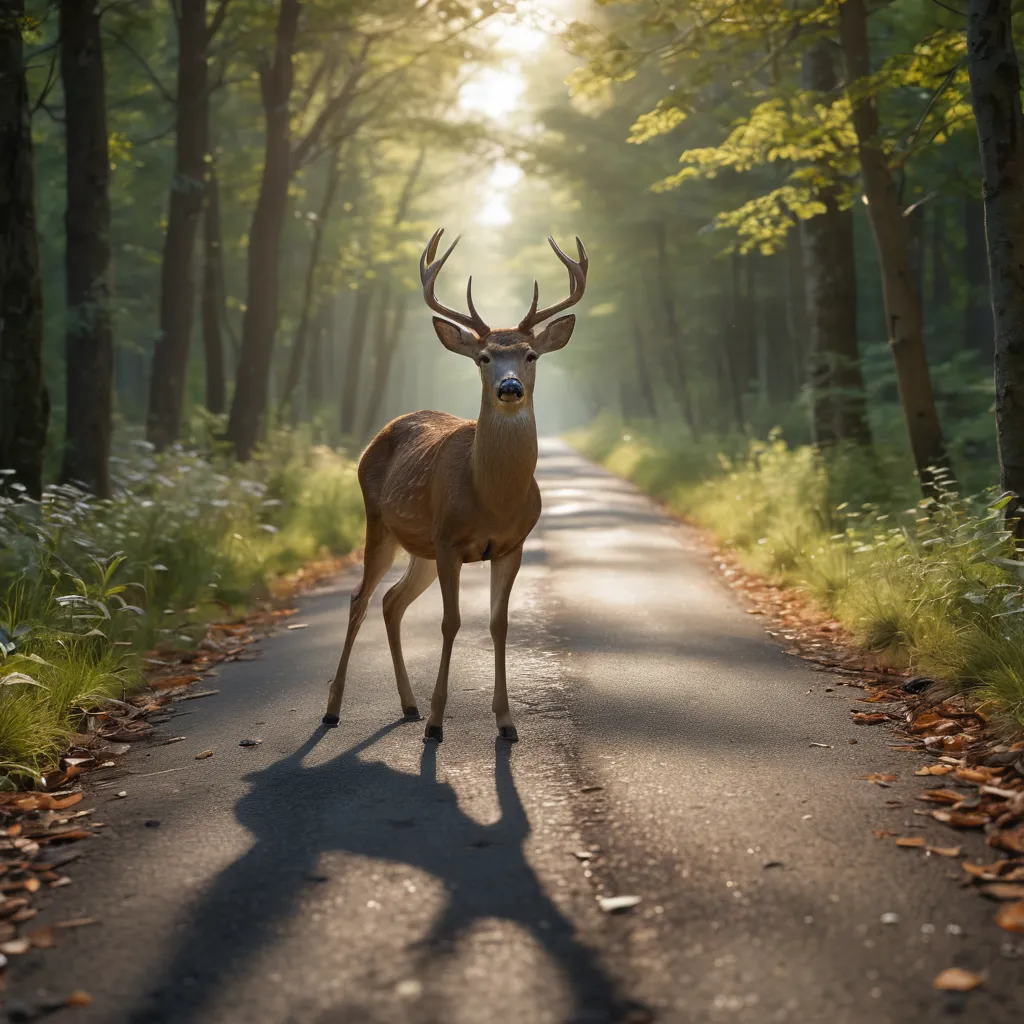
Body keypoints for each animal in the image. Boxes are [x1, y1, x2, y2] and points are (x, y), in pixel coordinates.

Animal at [322, 227, 588, 743]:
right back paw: (333, 710)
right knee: (360, 598)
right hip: (379, 523)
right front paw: (436, 724)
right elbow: (450, 622)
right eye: (483, 357)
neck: (491, 497)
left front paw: (506, 723)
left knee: (391, 602)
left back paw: (407, 705)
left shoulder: (511, 545)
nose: (509, 388)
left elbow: (499, 624)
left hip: (419, 547)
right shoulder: (448, 541)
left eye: (530, 355)